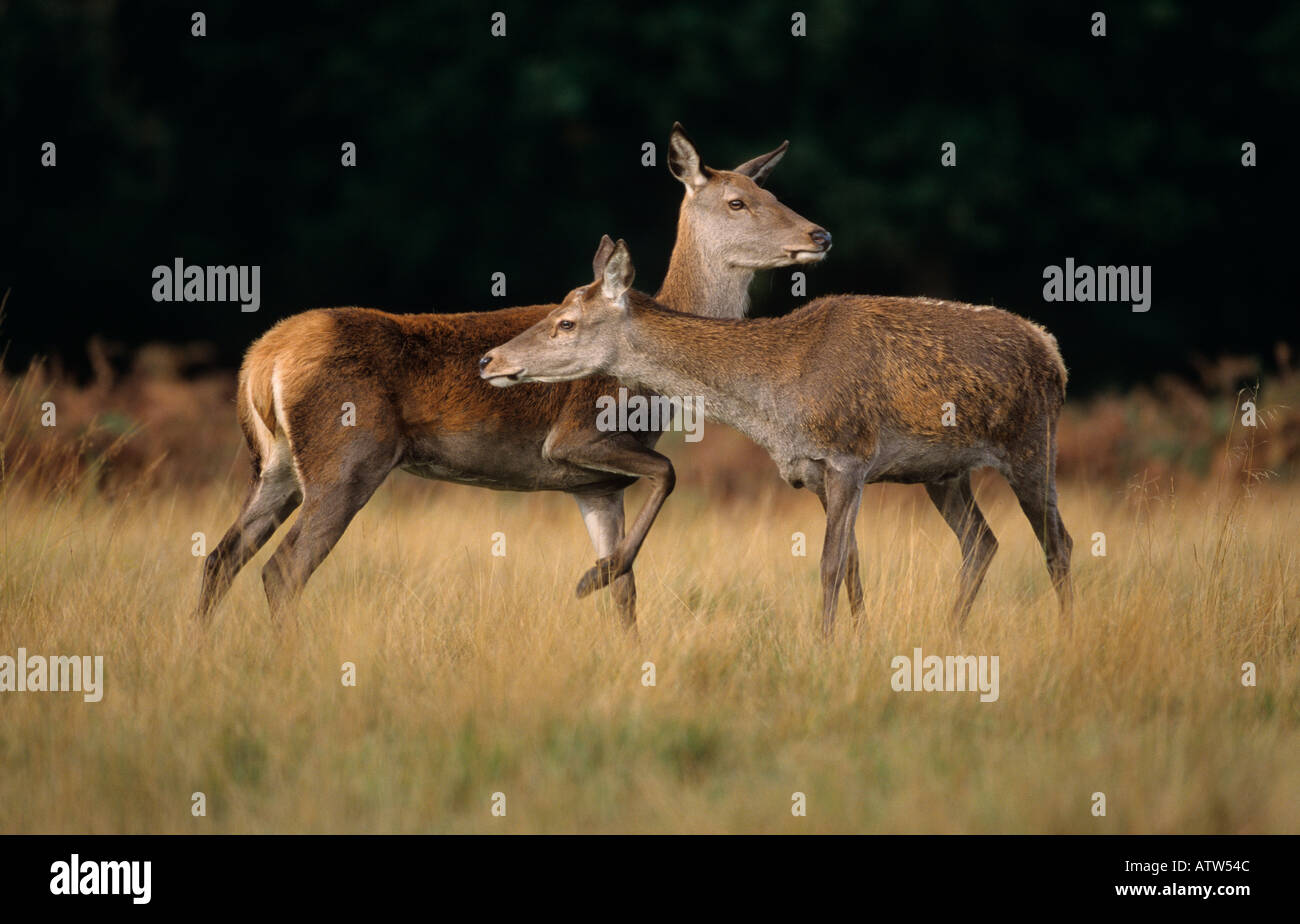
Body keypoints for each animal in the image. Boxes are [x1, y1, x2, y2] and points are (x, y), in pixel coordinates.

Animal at [194, 126, 831, 628]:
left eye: (771, 192)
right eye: (738, 202)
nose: (819, 235)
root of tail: (262, 360)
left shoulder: (596, 486)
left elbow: (628, 590)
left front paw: (611, 600)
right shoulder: (578, 437)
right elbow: (668, 476)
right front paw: (592, 577)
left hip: (275, 466)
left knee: (220, 558)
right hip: (348, 456)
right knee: (282, 570)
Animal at [479, 238, 1073, 636]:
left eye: (566, 323)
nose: (490, 360)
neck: (773, 411)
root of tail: (1054, 353)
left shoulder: (850, 456)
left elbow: (829, 563)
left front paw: (826, 646)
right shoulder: (813, 471)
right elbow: (852, 562)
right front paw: (859, 640)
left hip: (1032, 444)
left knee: (1057, 543)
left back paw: (1066, 633)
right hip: (944, 472)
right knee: (982, 542)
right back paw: (951, 635)